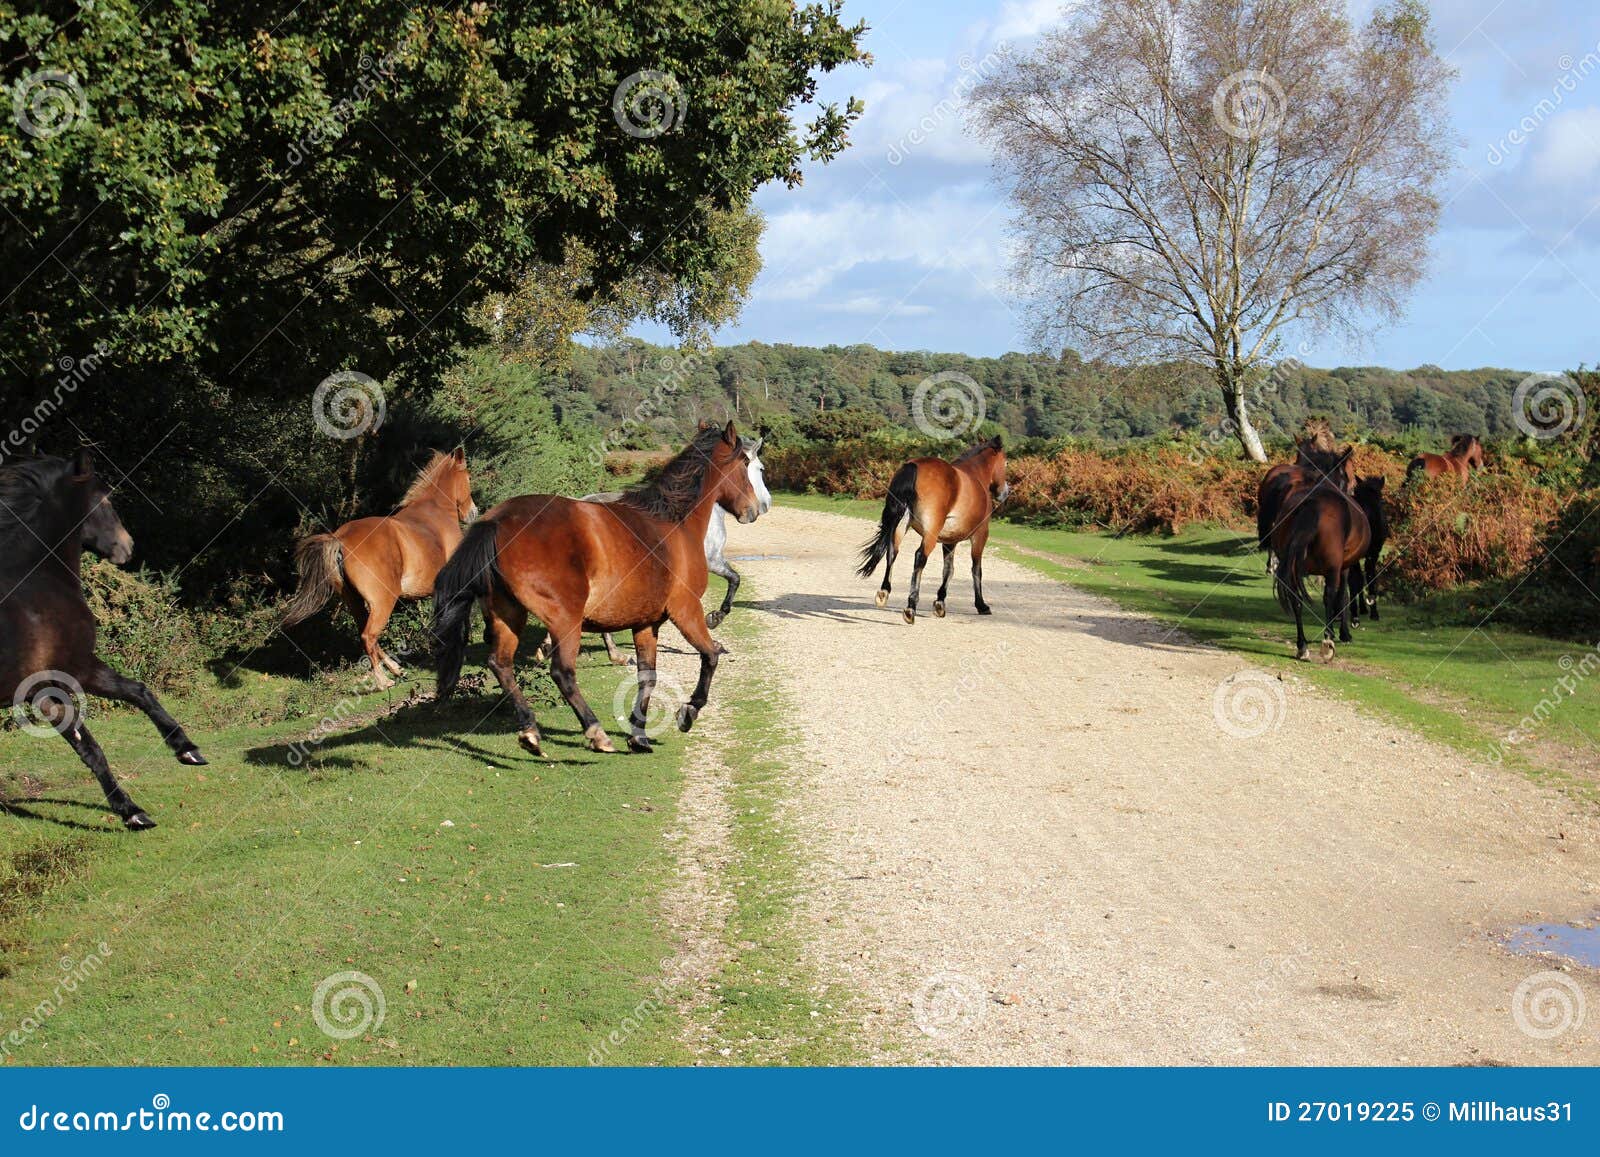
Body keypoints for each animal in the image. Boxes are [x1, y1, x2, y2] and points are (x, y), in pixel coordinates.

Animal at [0, 452, 206, 829]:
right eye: (107, 500)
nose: (128, 546)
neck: (36, 583)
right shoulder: (67, 673)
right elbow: (91, 747)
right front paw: (133, 811)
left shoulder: (59, 680)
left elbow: (138, 692)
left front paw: (188, 750)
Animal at [283, 449, 477, 688]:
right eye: (468, 477)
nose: (473, 513)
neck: (436, 512)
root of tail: (340, 539)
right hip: (383, 601)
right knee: (369, 636)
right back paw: (383, 680)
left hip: (355, 602)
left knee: (366, 635)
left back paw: (396, 670)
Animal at [531, 433, 773, 668]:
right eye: (759, 468)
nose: (763, 506)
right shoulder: (709, 563)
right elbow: (730, 583)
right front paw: (714, 623)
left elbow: (733, 580)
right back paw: (613, 655)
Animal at [857, 435, 1009, 624]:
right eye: (1006, 463)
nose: (1005, 493)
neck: (976, 477)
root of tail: (913, 467)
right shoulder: (980, 536)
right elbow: (976, 569)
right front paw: (981, 605)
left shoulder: (950, 540)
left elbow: (948, 570)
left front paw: (940, 602)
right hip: (930, 534)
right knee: (919, 557)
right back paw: (911, 607)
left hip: (901, 526)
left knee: (892, 552)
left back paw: (884, 592)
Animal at [1268, 450, 1371, 661]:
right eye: (1349, 476)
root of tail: (1312, 503)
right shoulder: (1343, 567)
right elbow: (1342, 596)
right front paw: (1344, 633)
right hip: (1332, 568)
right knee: (1329, 596)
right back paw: (1328, 638)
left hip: (1291, 567)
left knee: (1296, 599)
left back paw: (1302, 646)